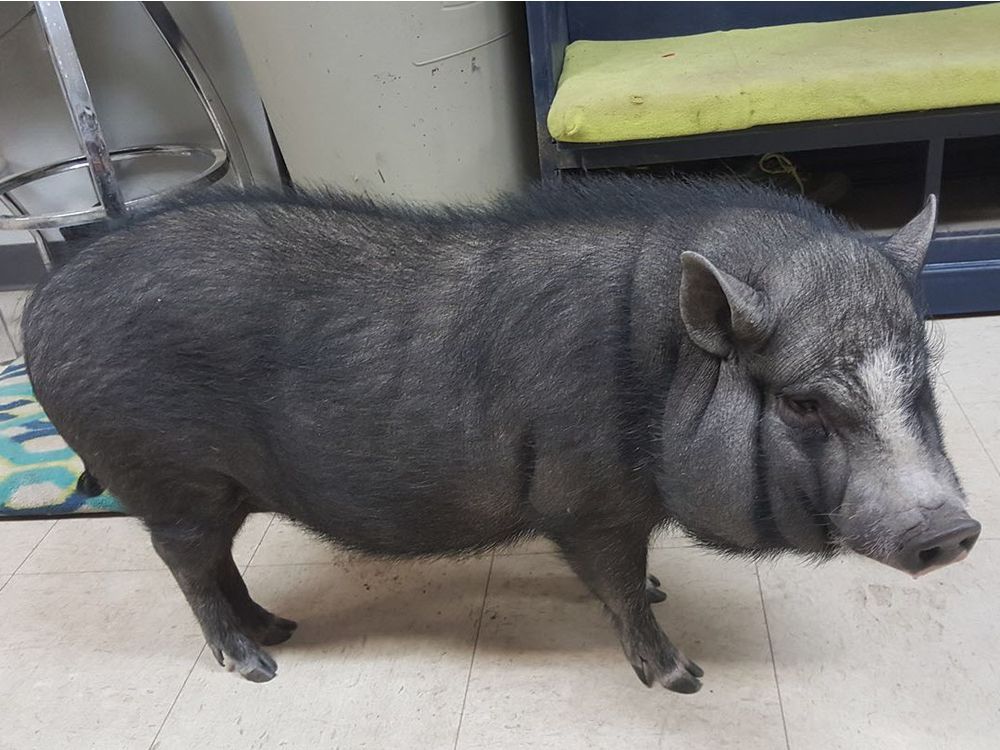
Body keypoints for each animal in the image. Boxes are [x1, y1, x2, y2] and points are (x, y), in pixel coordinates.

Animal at [22, 177, 980, 694]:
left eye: (920, 375)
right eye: (805, 405)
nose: (955, 530)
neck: (658, 363)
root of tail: (40, 304)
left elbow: (632, 580)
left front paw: (666, 589)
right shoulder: (584, 503)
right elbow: (618, 589)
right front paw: (682, 676)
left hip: (211, 492)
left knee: (220, 563)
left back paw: (282, 628)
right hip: (168, 482)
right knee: (189, 571)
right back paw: (257, 665)